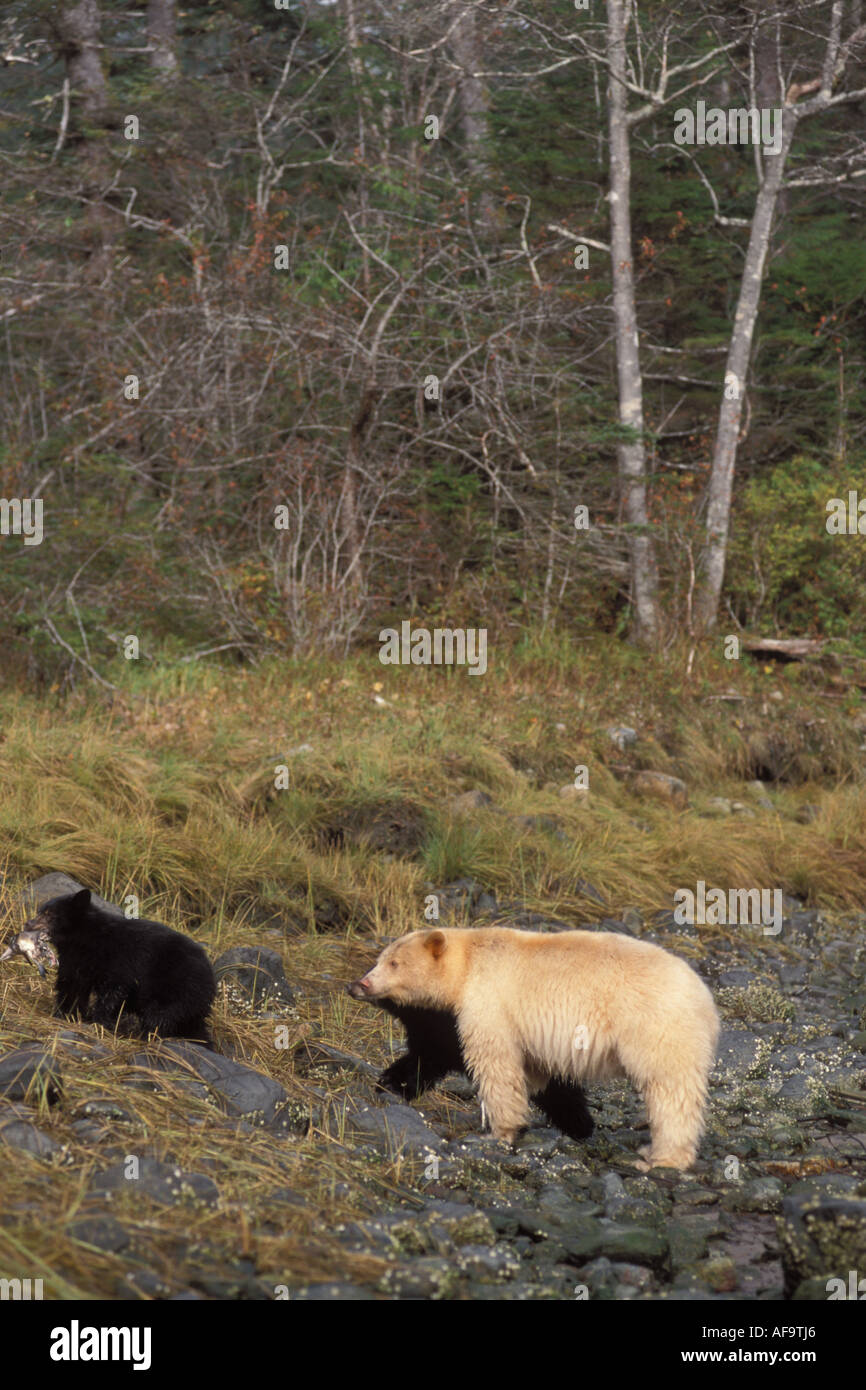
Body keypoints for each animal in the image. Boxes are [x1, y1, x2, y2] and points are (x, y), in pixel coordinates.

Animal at [22, 889, 217, 1045]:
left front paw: (98, 1023)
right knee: (194, 1028)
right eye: (40, 910)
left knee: (161, 1017)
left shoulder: (119, 961)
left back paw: (149, 1037)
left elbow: (113, 993)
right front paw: (66, 1014)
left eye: (49, 914)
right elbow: (71, 987)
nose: (27, 923)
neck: (85, 939)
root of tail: (212, 979)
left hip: (176, 989)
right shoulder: (76, 961)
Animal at [346, 989, 594, 1140]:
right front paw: (388, 1083)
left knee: (561, 1094)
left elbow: (421, 1065)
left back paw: (579, 1126)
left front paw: (393, 1085)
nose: (353, 988)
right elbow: (417, 1062)